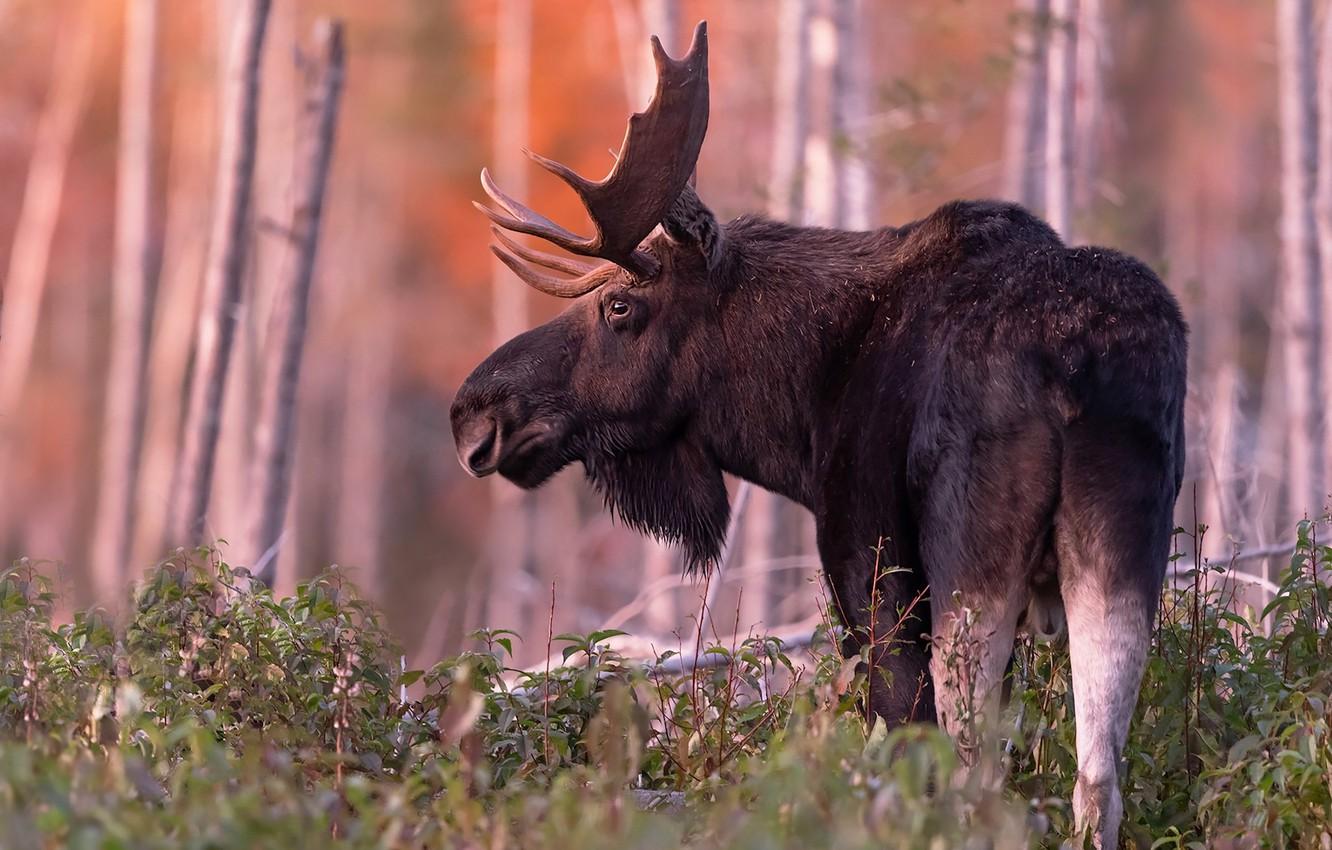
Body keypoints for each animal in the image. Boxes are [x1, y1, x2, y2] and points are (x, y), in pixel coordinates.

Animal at [449, 22, 1186, 847]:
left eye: (618, 306)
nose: (474, 412)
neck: (800, 416)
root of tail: (1074, 368)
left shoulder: (867, 566)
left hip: (969, 569)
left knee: (977, 779)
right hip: (1124, 554)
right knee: (1097, 779)